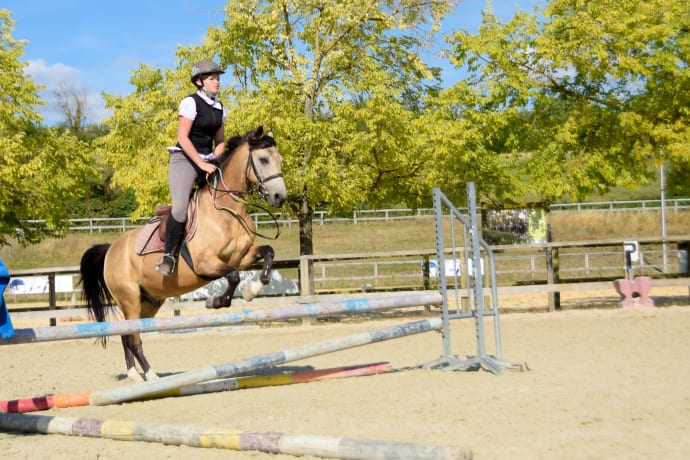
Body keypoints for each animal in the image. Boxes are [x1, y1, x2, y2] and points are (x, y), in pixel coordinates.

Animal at [79, 127, 287, 381]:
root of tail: (110, 250)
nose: (279, 197)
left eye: (280, 159)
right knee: (134, 338)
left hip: (148, 302)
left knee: (127, 335)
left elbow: (268, 254)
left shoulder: (242, 256)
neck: (228, 210)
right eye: (264, 159)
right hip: (129, 299)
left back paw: (135, 375)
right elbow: (233, 276)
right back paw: (151, 376)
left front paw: (251, 291)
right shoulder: (206, 263)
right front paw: (215, 301)